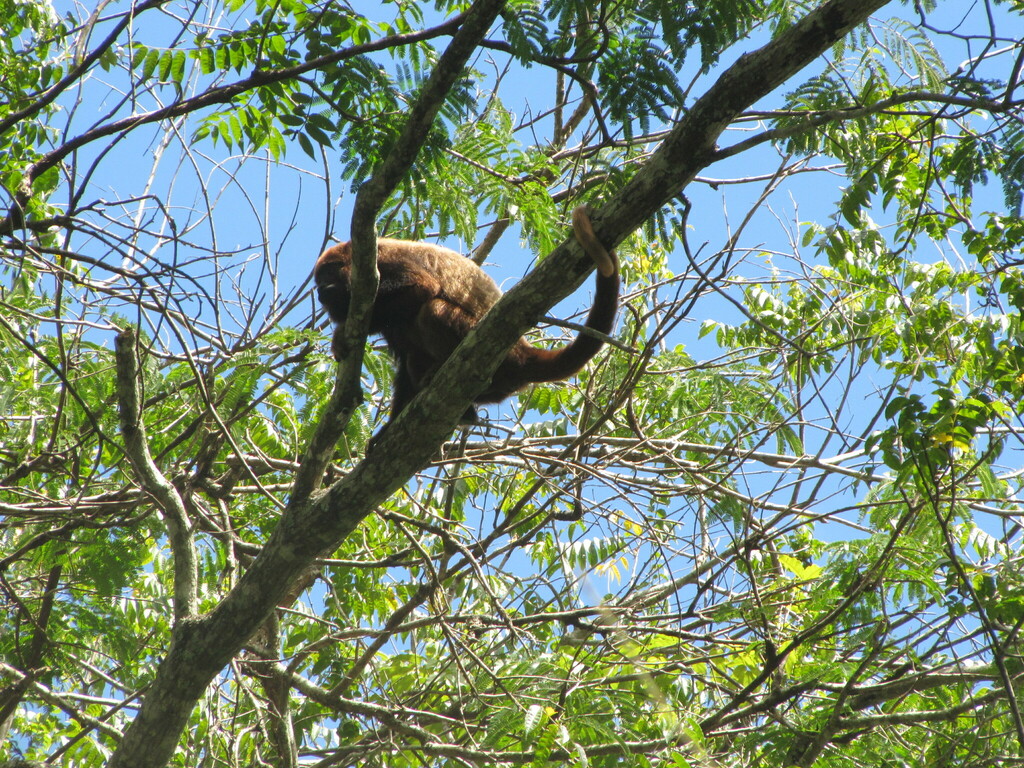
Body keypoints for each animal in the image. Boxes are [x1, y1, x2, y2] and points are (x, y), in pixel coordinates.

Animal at [314, 205, 618, 440]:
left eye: (327, 274)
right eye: (317, 282)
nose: (319, 291)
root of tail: (520, 351)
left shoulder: (385, 260)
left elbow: (422, 286)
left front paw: (341, 332)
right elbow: (403, 363)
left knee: (431, 309)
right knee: (413, 356)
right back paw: (466, 412)